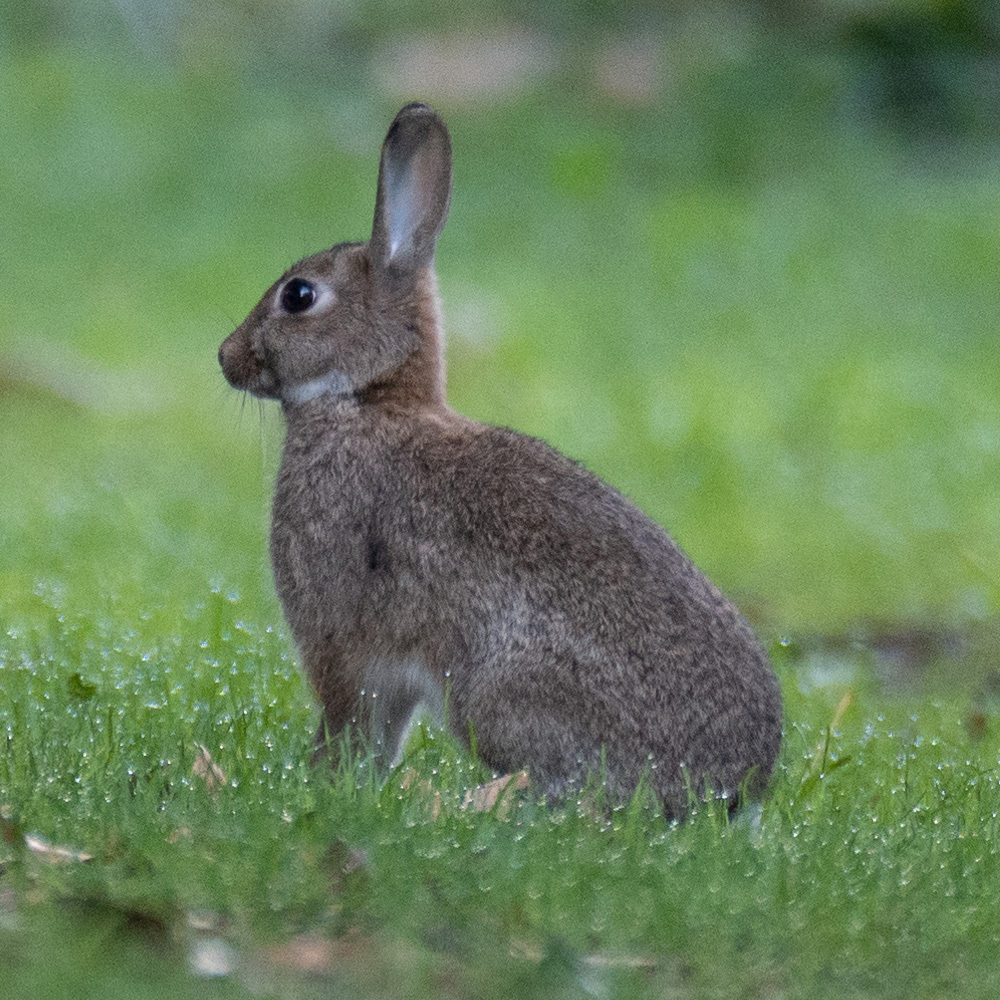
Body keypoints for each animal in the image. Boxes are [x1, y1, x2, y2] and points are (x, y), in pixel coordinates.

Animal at [218, 103, 782, 816]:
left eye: (298, 296)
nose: (225, 357)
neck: (368, 399)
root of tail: (731, 792)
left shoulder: (340, 640)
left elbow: (349, 724)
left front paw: (324, 784)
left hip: (497, 689)